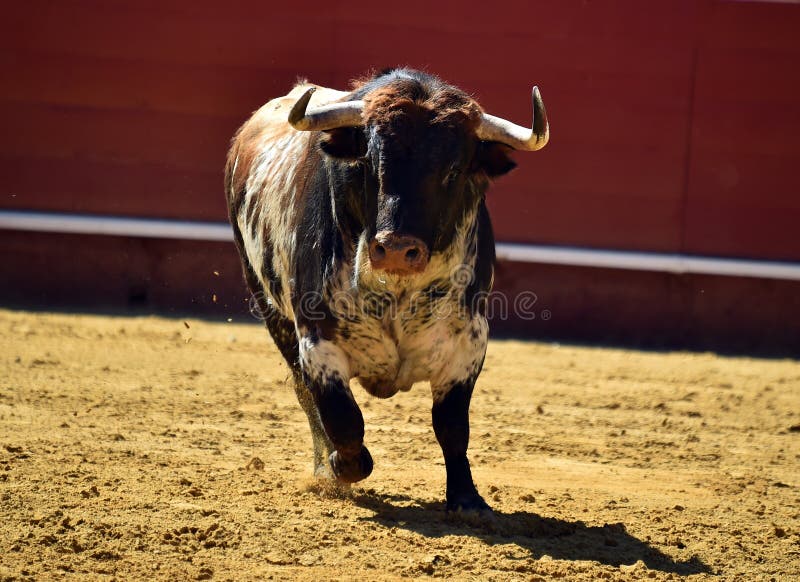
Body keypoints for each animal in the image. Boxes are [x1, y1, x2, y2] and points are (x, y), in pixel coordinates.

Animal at [225, 68, 548, 513]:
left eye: (453, 170)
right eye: (369, 162)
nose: (395, 248)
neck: (397, 293)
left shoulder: (469, 342)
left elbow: (452, 426)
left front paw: (467, 498)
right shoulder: (316, 339)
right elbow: (342, 417)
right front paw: (342, 466)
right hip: (269, 306)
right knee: (307, 397)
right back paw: (325, 468)